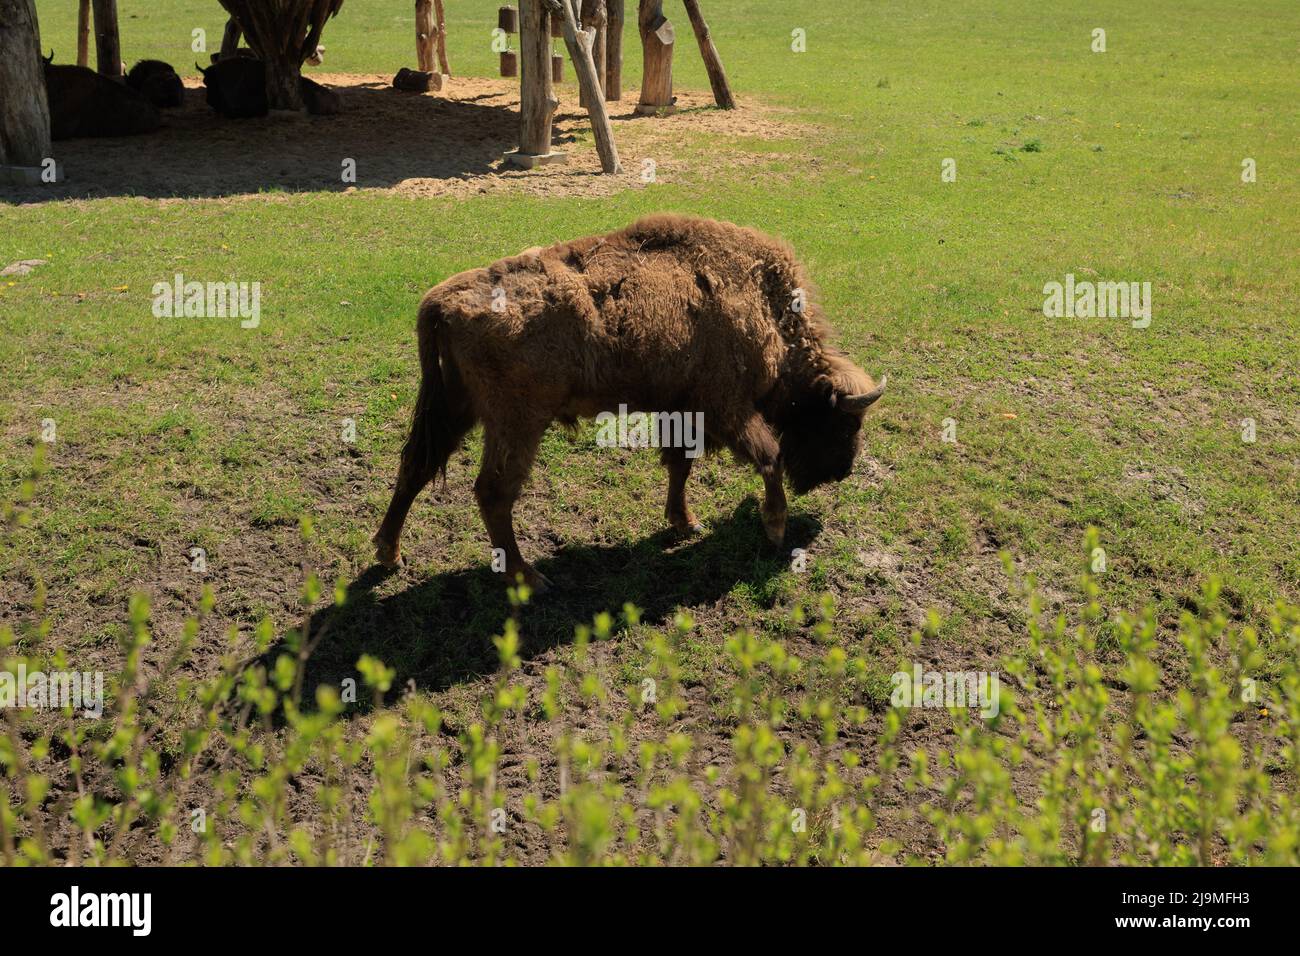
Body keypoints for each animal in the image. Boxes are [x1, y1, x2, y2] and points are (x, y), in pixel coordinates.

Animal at [373, 215, 887, 589]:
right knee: (493, 492)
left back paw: (388, 553)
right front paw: (775, 529)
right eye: (843, 423)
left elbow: (680, 465)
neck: (761, 297)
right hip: (516, 423)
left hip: (457, 407)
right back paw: (529, 577)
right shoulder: (727, 408)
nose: (840, 472)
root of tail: (441, 301)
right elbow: (769, 456)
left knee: (416, 467)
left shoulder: (684, 410)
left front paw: (685, 523)